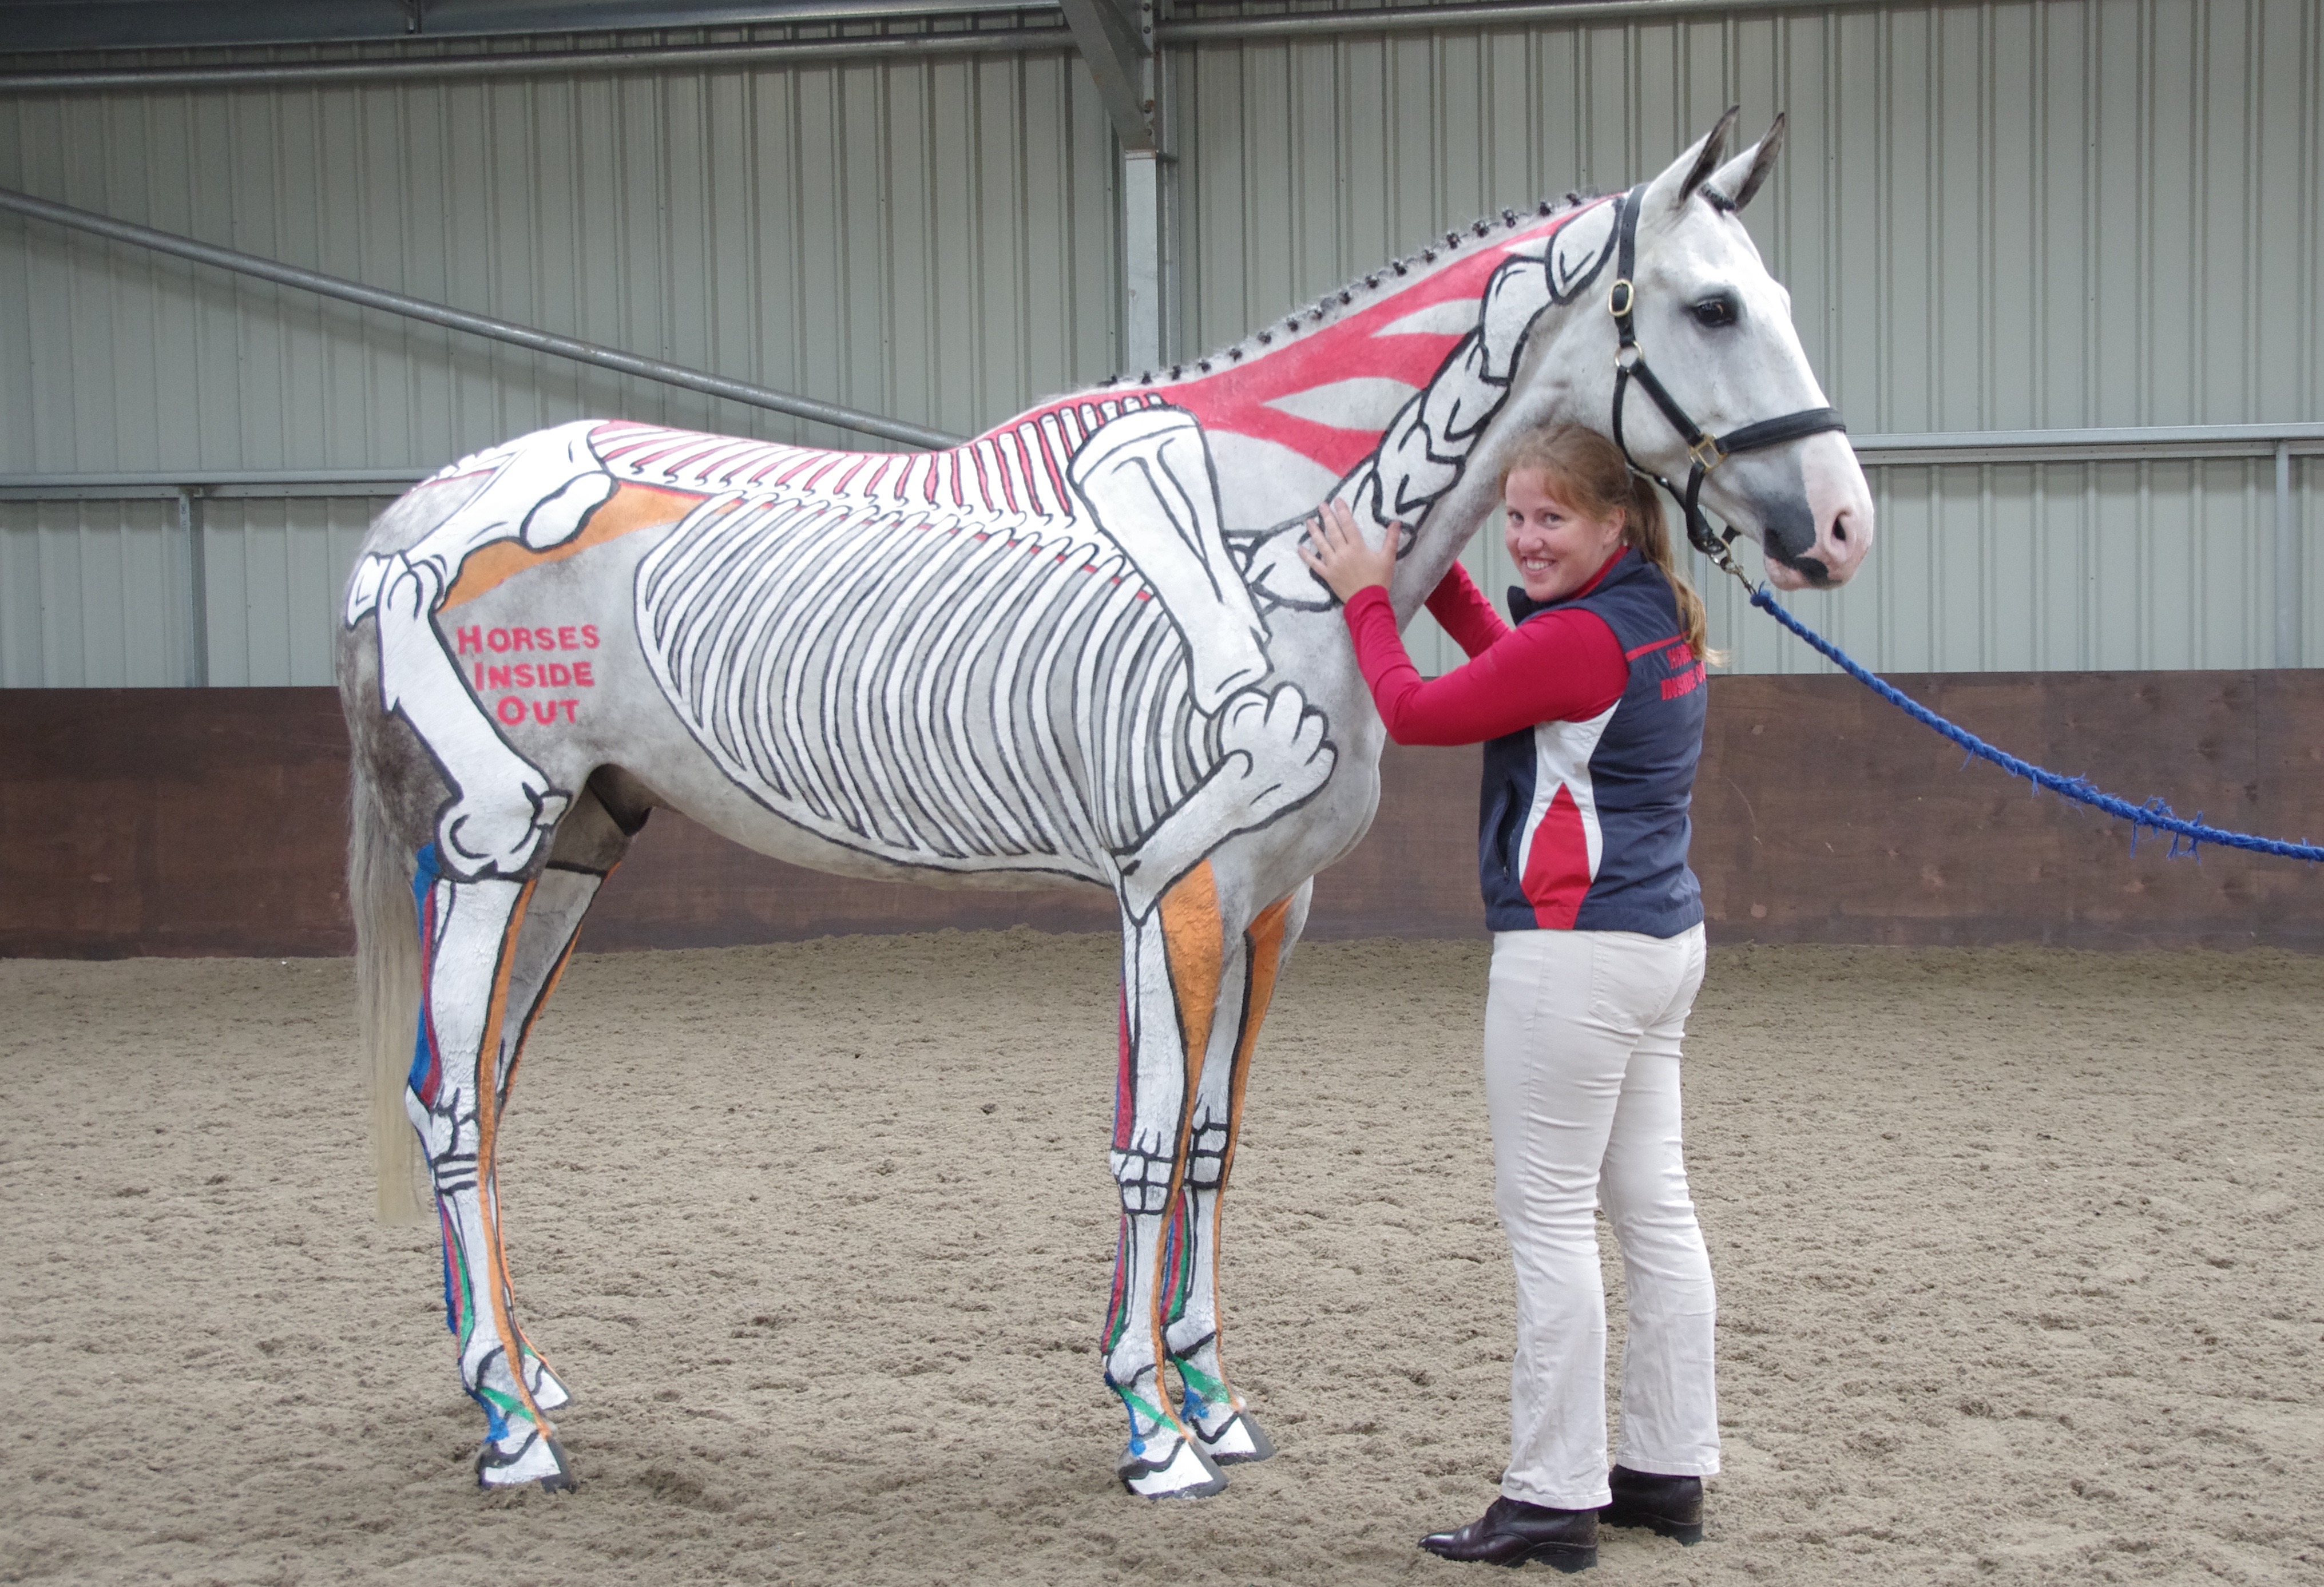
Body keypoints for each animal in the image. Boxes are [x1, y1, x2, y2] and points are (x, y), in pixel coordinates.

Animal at [338, 109, 1874, 1501]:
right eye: (1713, 304)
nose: (1842, 525)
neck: (1277, 550)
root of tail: (408, 520)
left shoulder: (1272, 907)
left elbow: (1210, 1142)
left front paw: (1214, 1397)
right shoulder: (1168, 885)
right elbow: (1147, 1139)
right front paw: (1151, 1425)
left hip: (579, 846)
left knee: (476, 1082)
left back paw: (520, 1376)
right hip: (489, 850)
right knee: (449, 1101)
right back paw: (511, 1429)